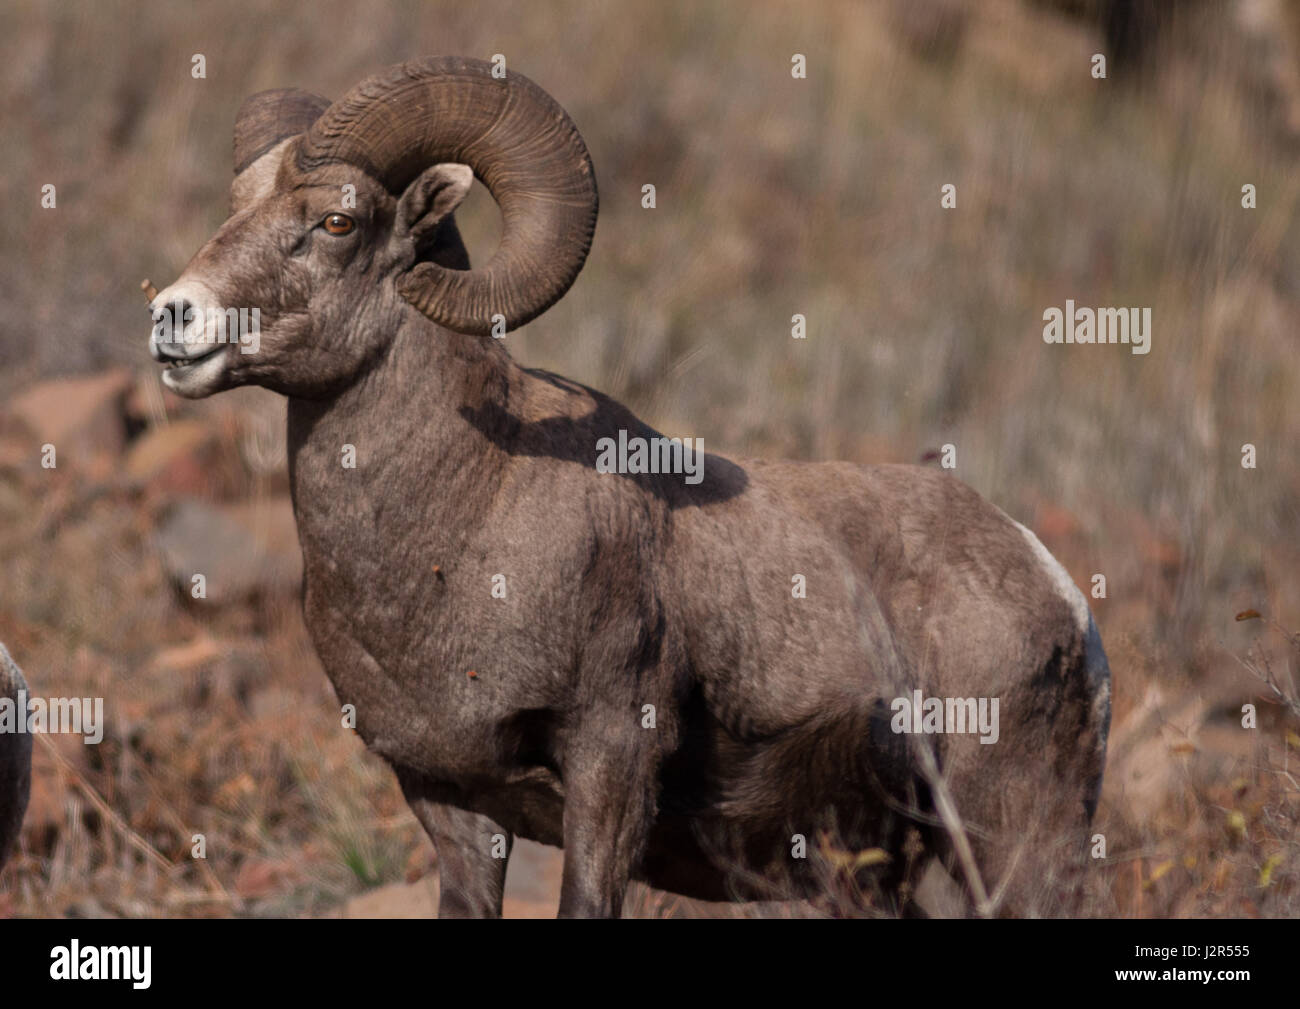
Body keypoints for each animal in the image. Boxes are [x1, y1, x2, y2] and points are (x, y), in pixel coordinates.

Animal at [146, 56, 1111, 917]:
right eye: (236, 209)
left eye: (338, 221)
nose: (173, 316)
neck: (462, 531)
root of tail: (1060, 591)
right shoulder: (450, 799)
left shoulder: (610, 764)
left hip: (1006, 846)